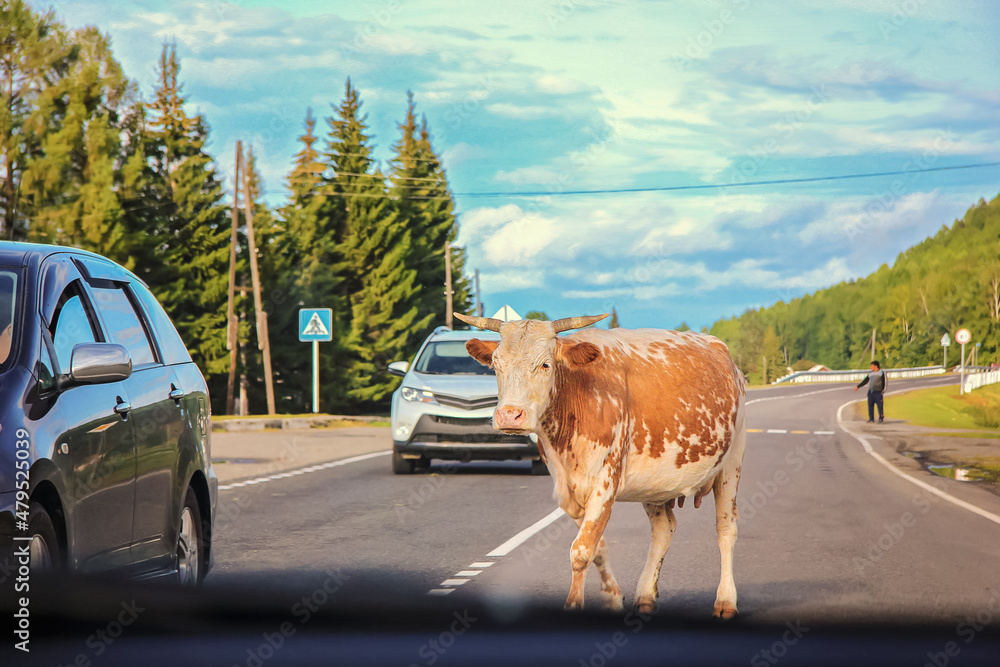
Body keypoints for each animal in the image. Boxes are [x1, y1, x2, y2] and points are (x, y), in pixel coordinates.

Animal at [454, 312, 746, 619]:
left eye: (545, 364)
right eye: (497, 364)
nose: (510, 415)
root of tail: (726, 357)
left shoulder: (604, 485)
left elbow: (581, 551)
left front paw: (573, 604)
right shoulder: (568, 492)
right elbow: (597, 548)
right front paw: (612, 598)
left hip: (732, 463)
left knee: (726, 529)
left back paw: (725, 601)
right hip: (655, 482)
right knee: (663, 530)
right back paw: (645, 595)